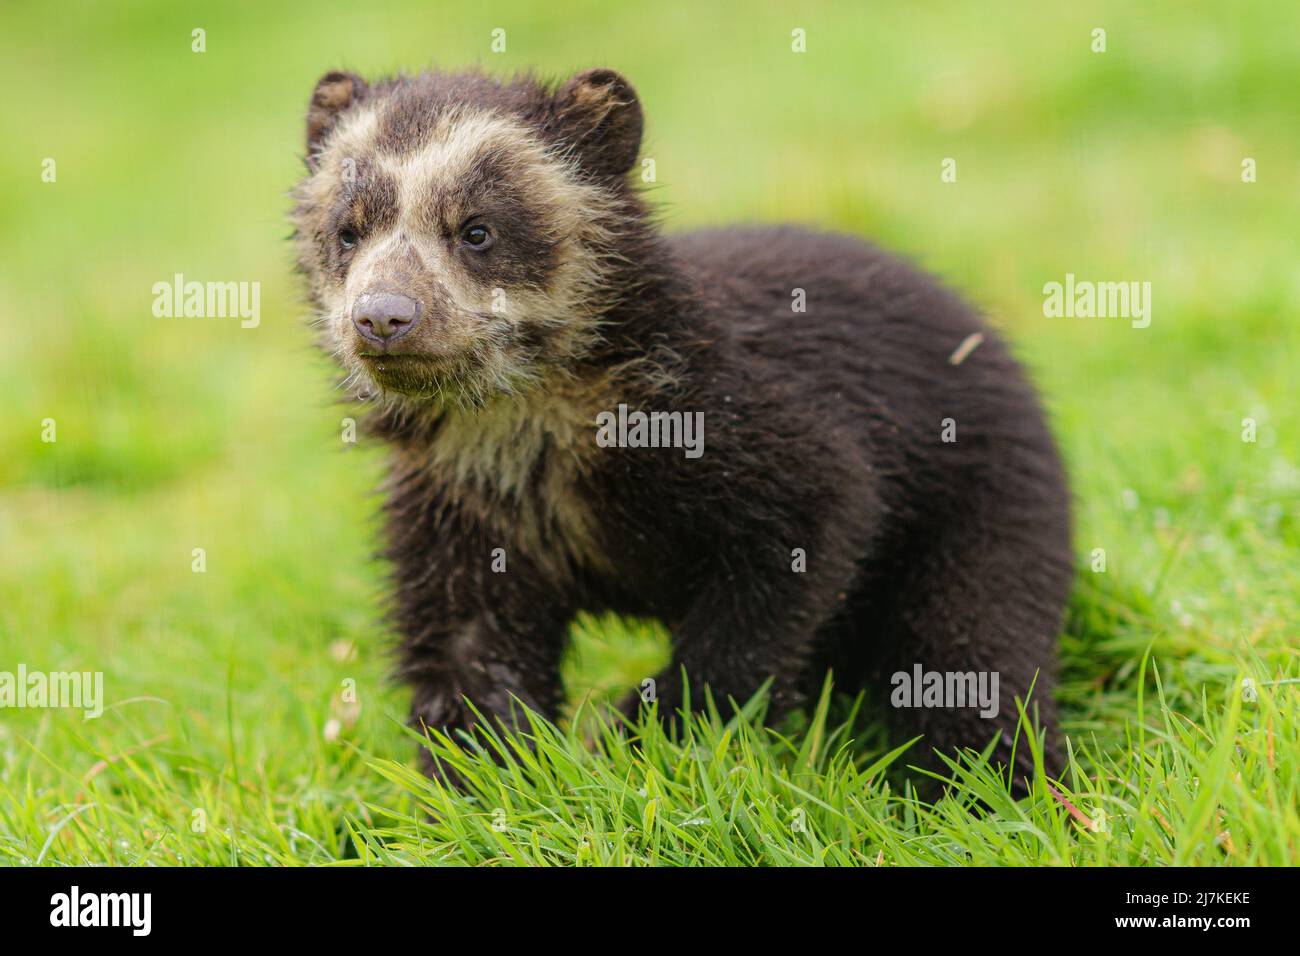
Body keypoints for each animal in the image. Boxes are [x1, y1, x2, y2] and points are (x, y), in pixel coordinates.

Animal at [290, 66, 1074, 786]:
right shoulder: (455, 500)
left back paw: (990, 786)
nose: (384, 318)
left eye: (477, 230)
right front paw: (485, 786)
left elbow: (812, 521)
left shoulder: (710, 419)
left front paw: (646, 737)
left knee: (970, 643)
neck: (525, 421)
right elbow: (468, 649)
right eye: (348, 232)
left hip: (990, 497)